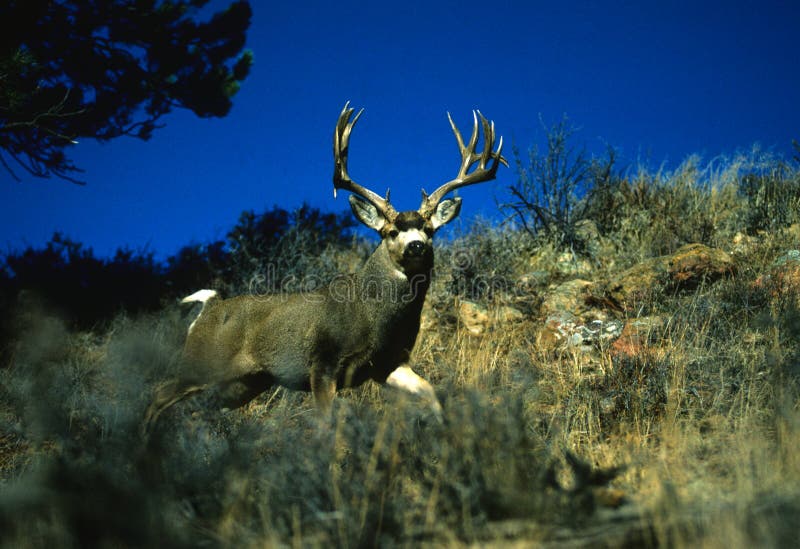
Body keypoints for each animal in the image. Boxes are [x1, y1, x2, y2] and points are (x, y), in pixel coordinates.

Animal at [142, 103, 506, 437]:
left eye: (430, 230)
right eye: (390, 232)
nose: (417, 246)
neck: (371, 315)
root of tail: (209, 307)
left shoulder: (388, 363)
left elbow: (431, 393)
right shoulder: (322, 363)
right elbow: (325, 426)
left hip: (244, 383)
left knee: (192, 409)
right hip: (202, 364)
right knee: (157, 395)